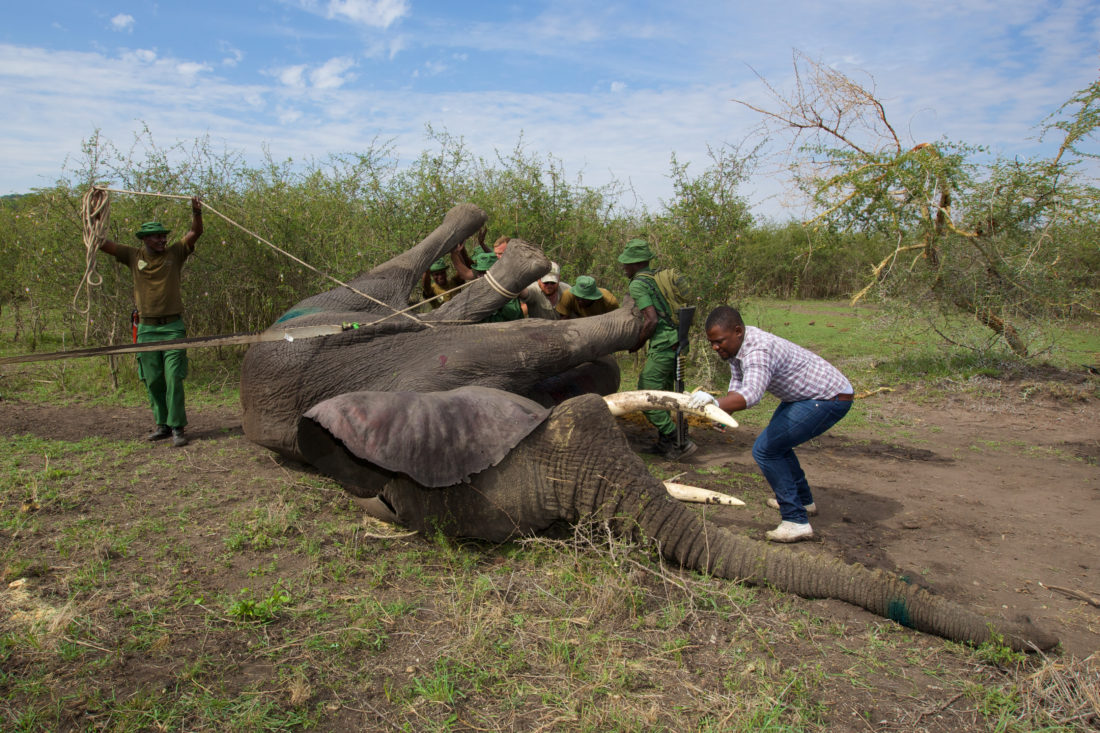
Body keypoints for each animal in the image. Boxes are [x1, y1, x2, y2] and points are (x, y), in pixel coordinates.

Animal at [240, 204, 1056, 652]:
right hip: (327, 331)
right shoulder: (425, 375)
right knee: (445, 310)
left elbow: (593, 375)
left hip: (348, 318)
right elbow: (533, 348)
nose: (1040, 636)